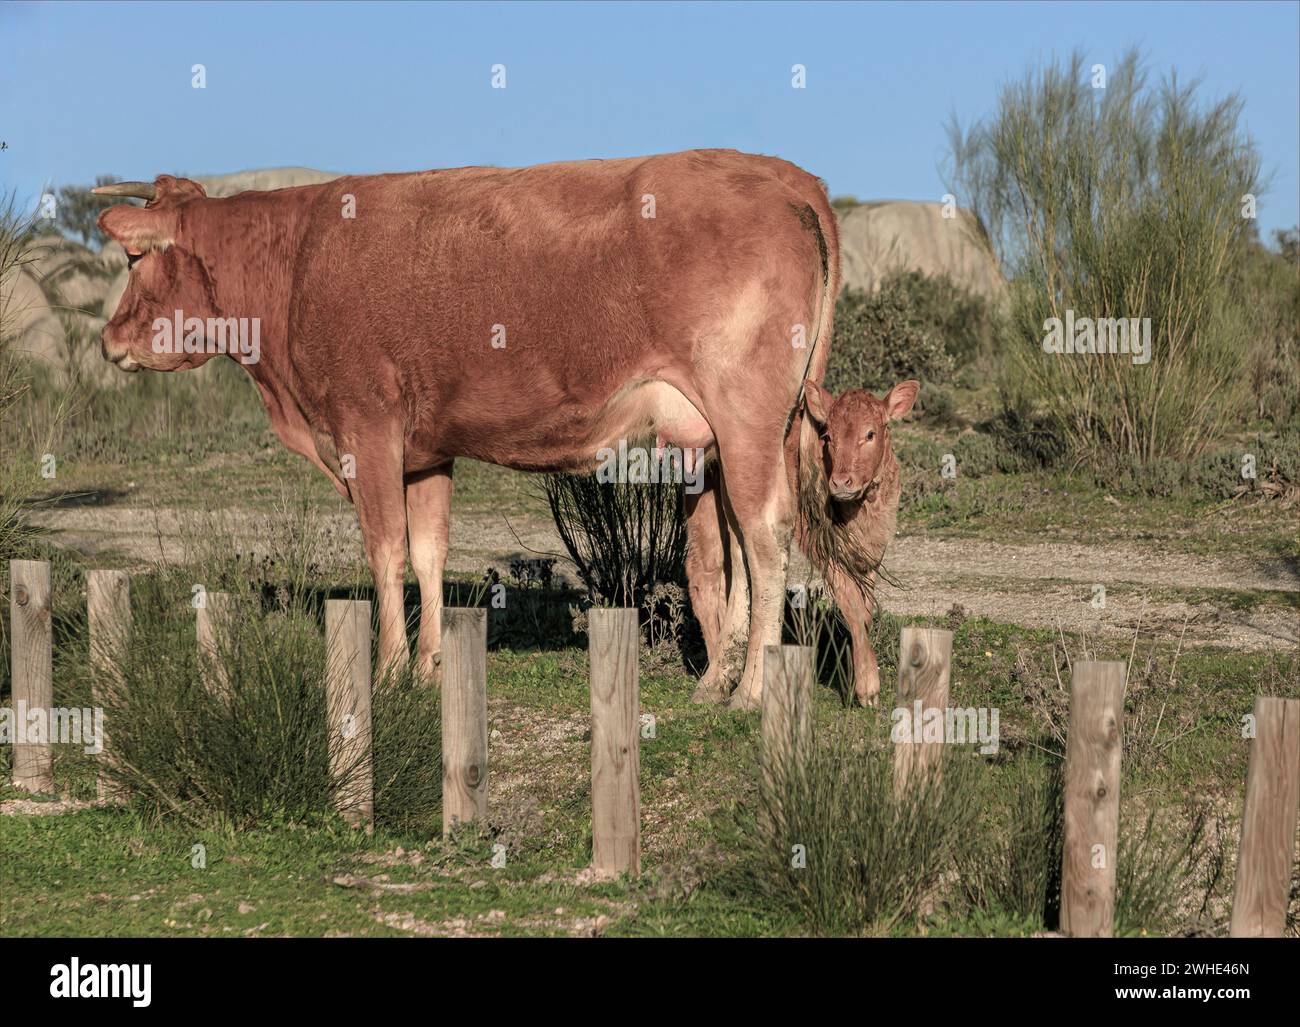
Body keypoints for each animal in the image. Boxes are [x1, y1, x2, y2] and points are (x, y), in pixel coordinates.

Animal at [93, 149, 844, 709]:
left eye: (134, 260)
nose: (108, 339)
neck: (296, 260)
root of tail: (786, 175)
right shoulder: (425, 450)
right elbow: (429, 551)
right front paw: (429, 664)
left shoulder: (367, 428)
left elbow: (387, 552)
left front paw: (388, 670)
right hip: (750, 429)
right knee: (740, 540)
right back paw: (720, 677)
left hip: (746, 415)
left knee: (765, 536)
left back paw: (750, 689)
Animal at [686, 378, 918, 706]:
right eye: (828, 436)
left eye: (870, 433)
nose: (841, 482)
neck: (863, 512)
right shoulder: (821, 545)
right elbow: (851, 605)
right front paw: (868, 687)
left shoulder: (872, 552)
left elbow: (865, 609)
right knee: (704, 572)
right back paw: (716, 675)